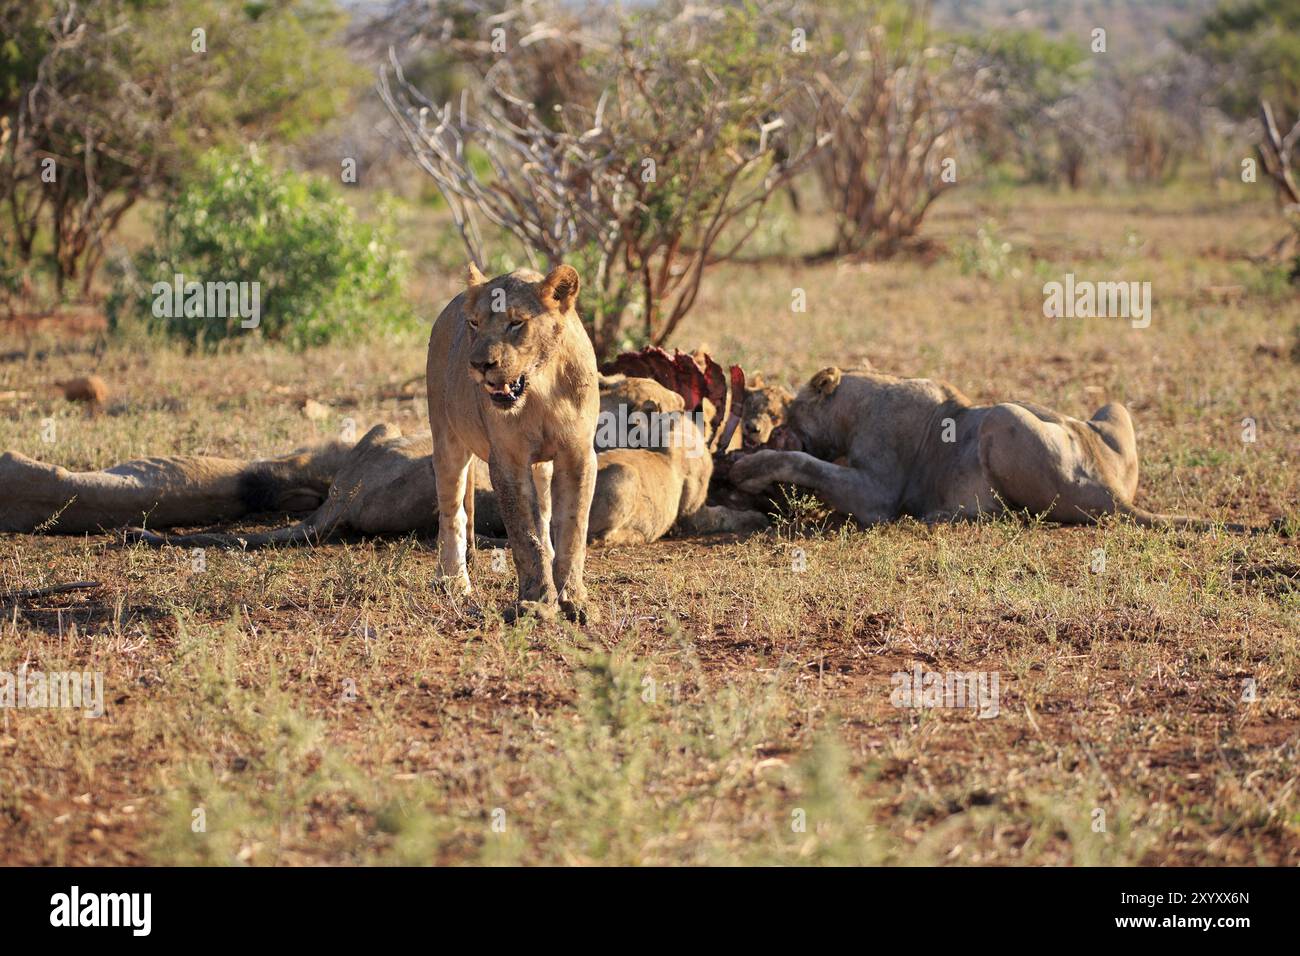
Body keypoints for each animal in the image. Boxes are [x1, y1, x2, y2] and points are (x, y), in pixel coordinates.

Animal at [426, 263, 599, 622]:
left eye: (516, 322)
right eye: (475, 323)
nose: (479, 365)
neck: (542, 389)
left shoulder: (578, 455)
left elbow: (573, 529)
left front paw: (574, 600)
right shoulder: (508, 459)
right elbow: (525, 535)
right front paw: (536, 601)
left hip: (542, 466)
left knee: (545, 514)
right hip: (447, 440)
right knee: (453, 513)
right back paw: (453, 582)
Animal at [730, 366, 1259, 531]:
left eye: (784, 410)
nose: (757, 432)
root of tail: (1111, 492)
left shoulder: (875, 494)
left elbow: (804, 462)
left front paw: (749, 467)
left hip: (1002, 417)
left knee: (1015, 511)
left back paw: (944, 515)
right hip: (1113, 408)